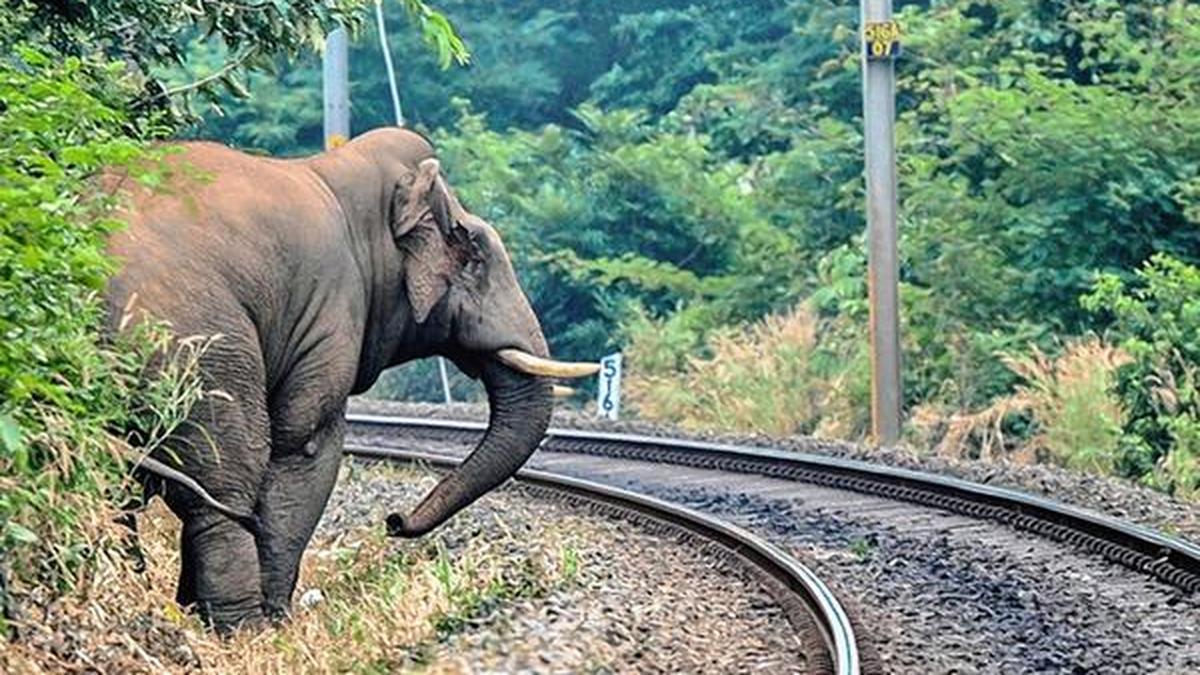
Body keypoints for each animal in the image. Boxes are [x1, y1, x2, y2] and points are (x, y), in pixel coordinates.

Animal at [103, 127, 596, 632]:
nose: (394, 521)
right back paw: (243, 628)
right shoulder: (329, 312)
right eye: (474, 255)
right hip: (196, 348)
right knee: (221, 483)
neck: (340, 175)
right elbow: (306, 444)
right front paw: (278, 622)